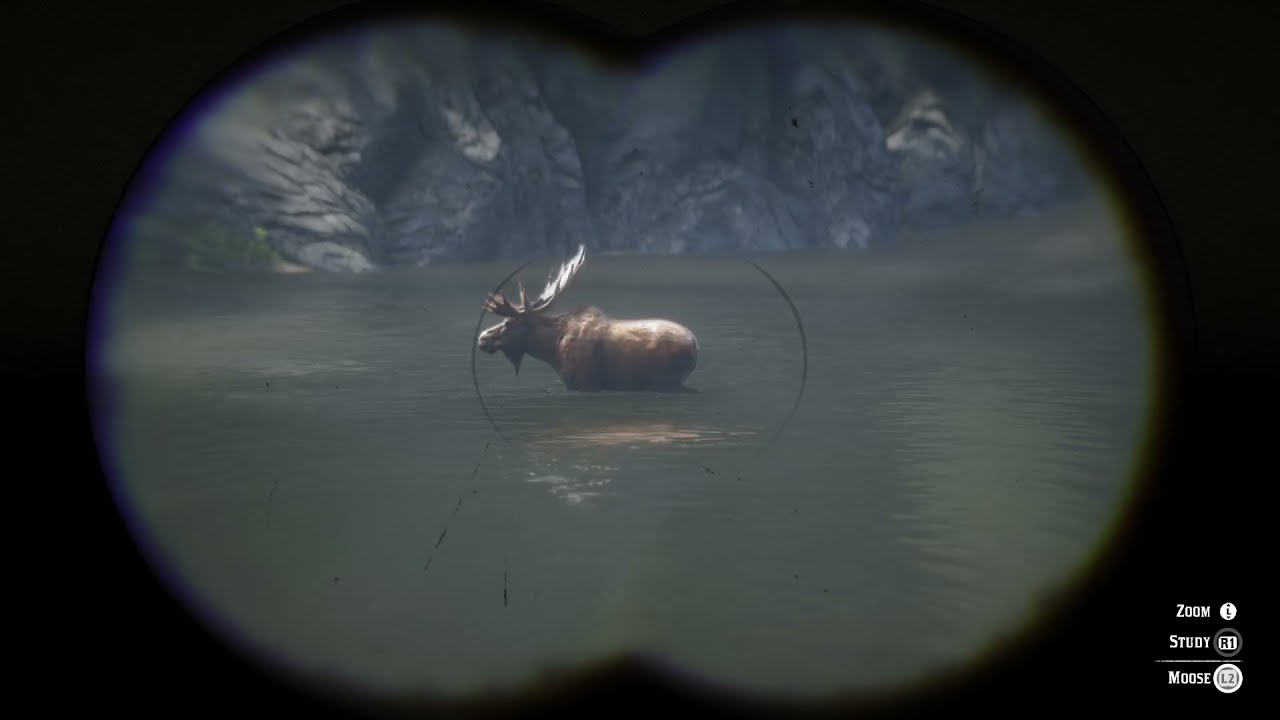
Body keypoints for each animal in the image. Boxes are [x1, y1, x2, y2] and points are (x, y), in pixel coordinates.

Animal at [477, 245, 699, 392]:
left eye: (509, 322)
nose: (482, 337)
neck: (551, 348)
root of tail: (695, 344)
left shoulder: (583, 381)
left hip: (668, 380)